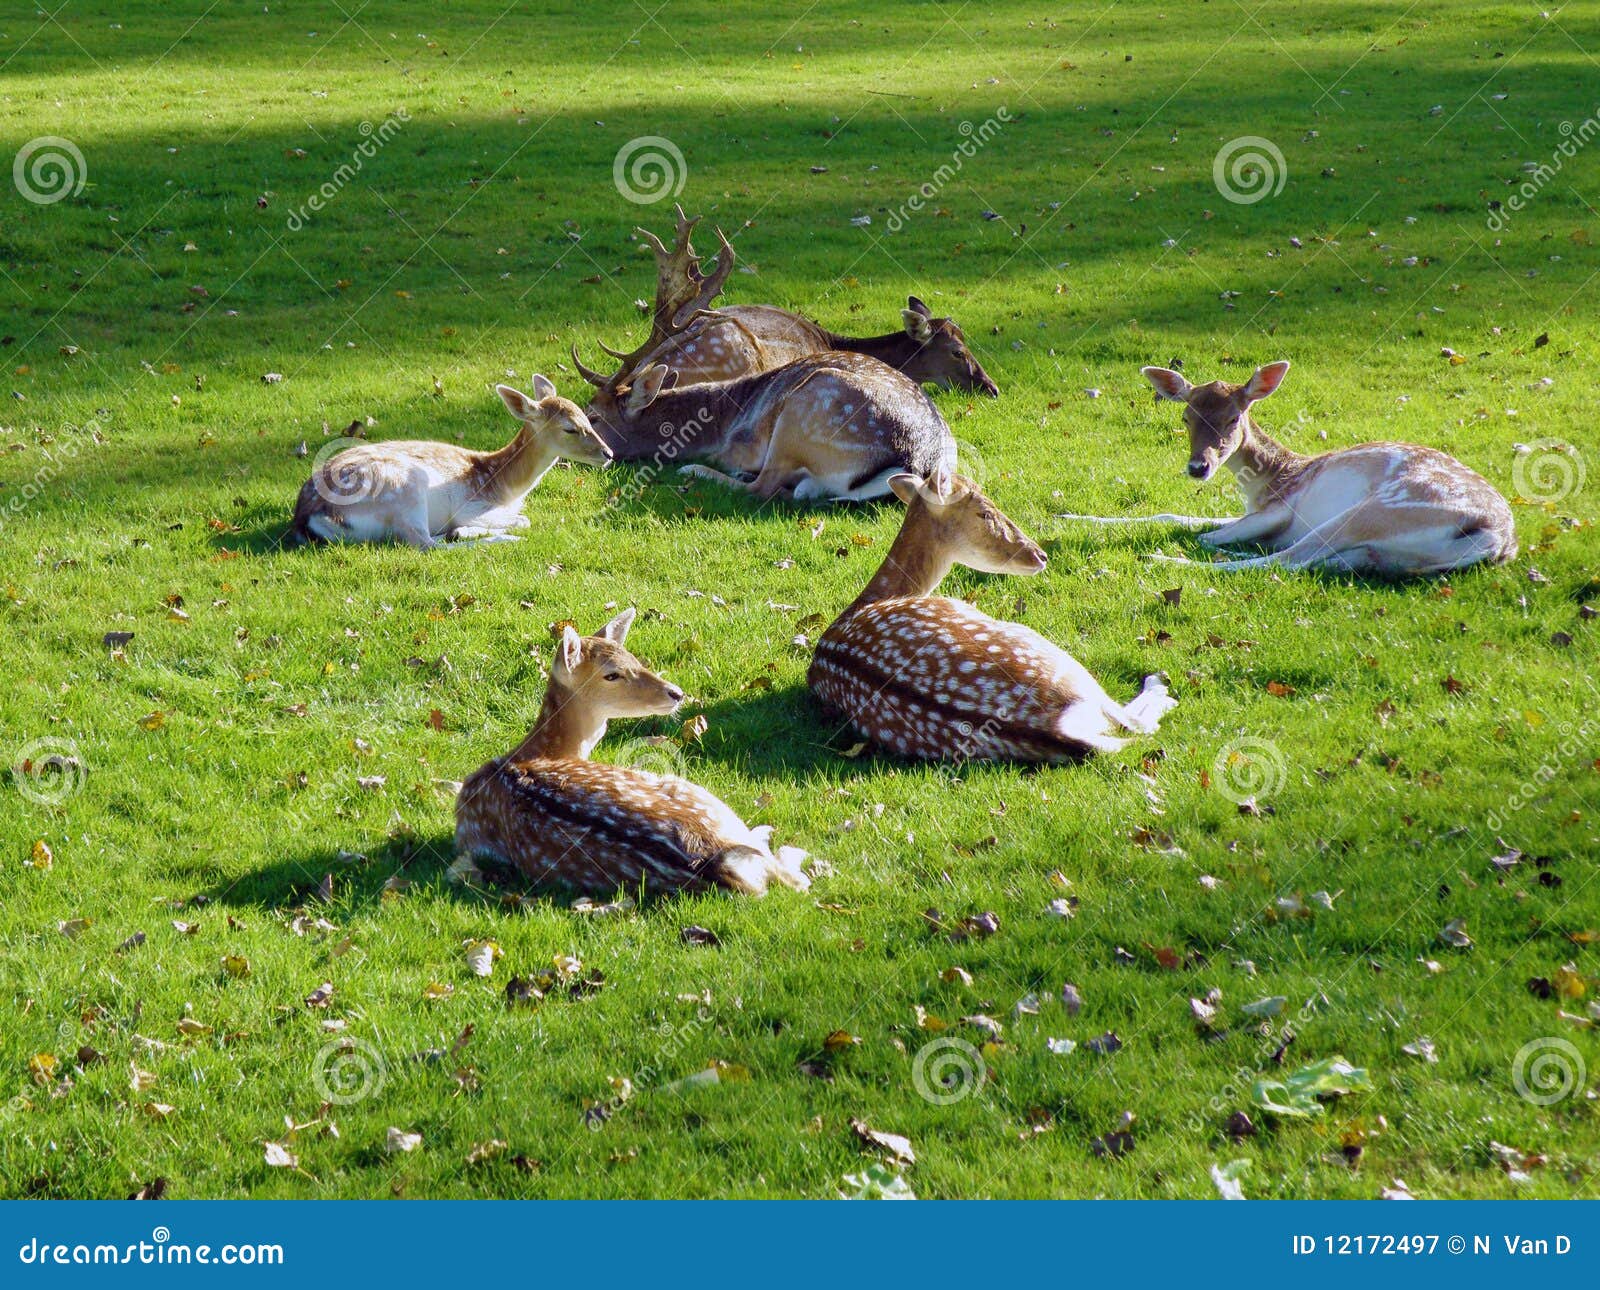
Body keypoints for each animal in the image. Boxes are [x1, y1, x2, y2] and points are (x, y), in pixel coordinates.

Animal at [286, 378, 612, 549]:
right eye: (570, 428)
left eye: (587, 417)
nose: (608, 453)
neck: (507, 490)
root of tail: (311, 517)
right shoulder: (472, 505)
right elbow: (524, 518)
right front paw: (479, 528)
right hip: (404, 490)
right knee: (424, 543)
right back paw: (498, 536)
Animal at [455, 609, 811, 896]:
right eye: (611, 674)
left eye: (634, 658)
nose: (676, 693)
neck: (534, 754)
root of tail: (715, 862)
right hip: (691, 790)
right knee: (796, 880)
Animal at [808, 469, 1177, 762]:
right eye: (984, 512)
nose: (1040, 555)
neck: (868, 600)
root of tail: (1061, 726)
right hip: (1049, 652)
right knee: (1134, 722)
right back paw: (1160, 684)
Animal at [1056, 362, 1518, 577]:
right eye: (1186, 417)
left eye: (1233, 418)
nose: (1198, 467)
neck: (1267, 481)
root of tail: (1497, 540)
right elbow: (1171, 515)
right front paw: (1068, 517)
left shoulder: (1281, 507)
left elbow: (1203, 531)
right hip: (1372, 554)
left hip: (1376, 510)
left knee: (1284, 560)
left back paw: (1163, 560)